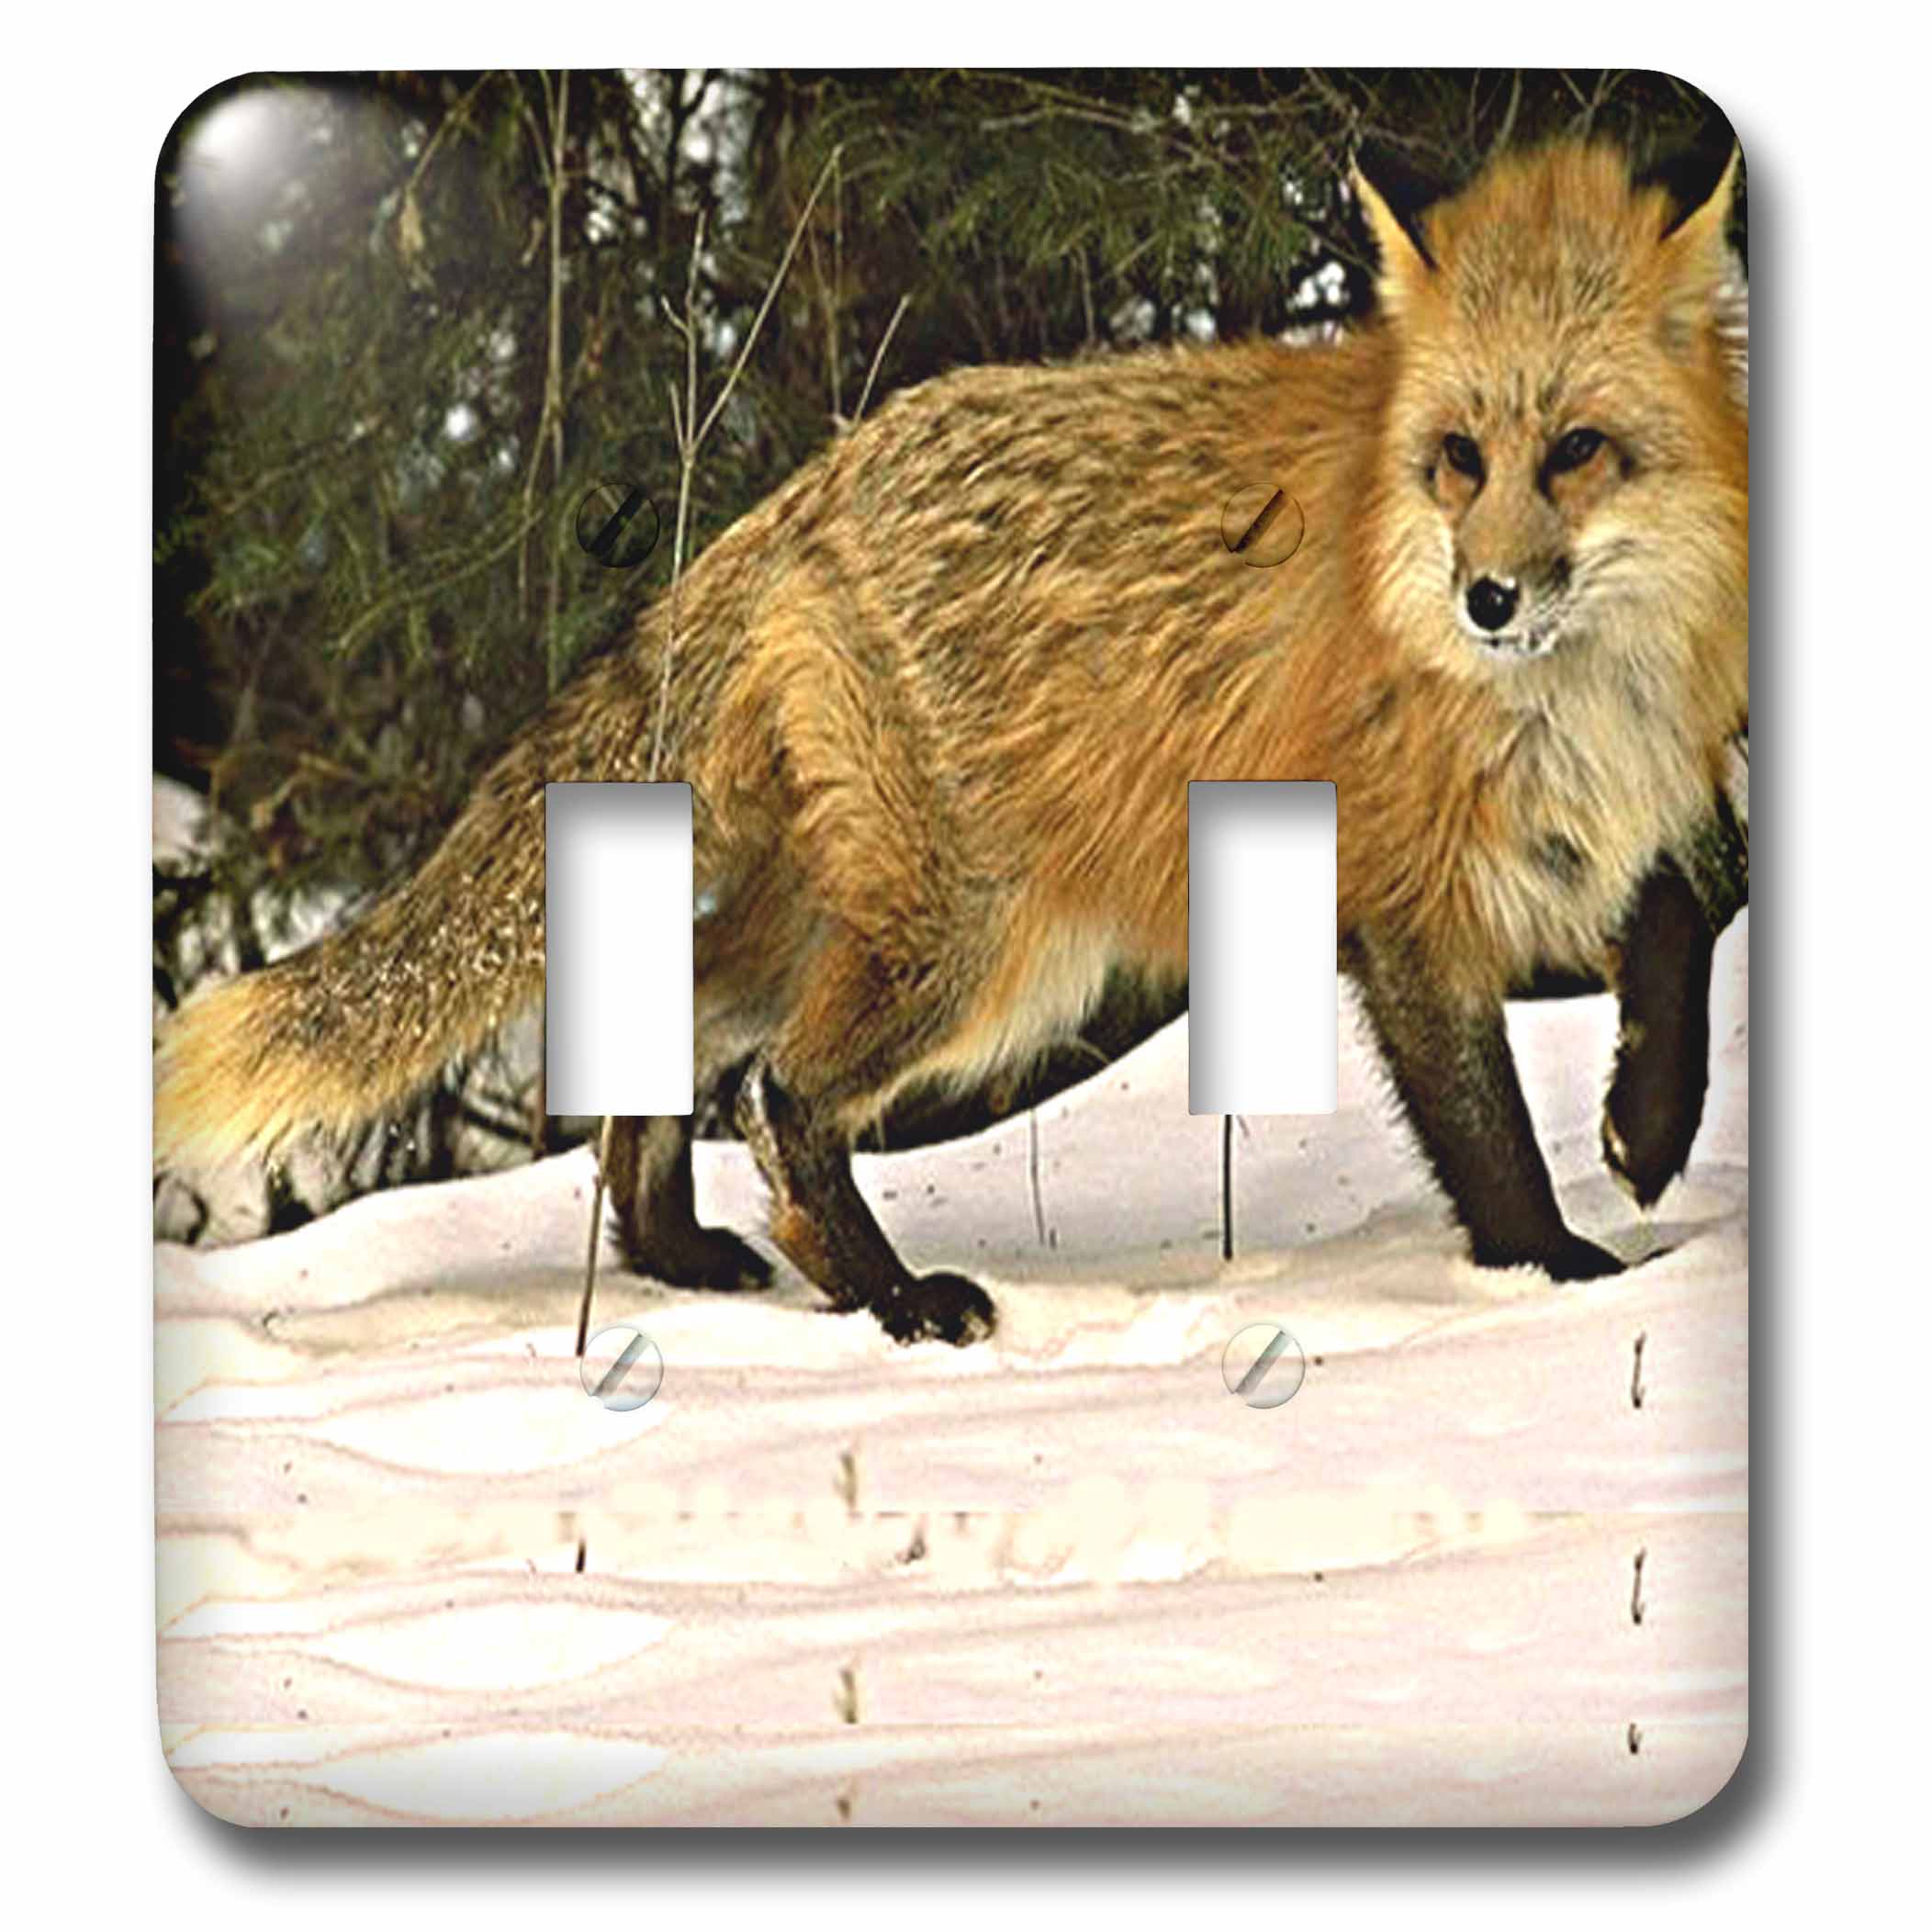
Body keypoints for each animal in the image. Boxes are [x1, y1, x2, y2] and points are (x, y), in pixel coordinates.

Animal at [155, 135, 1748, 1346]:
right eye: (1458, 460)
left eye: (1578, 451)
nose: (1488, 600)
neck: (1571, 697)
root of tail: (809, 484)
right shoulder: (1404, 902)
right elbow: (1489, 1136)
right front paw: (1561, 1280)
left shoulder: (1625, 811)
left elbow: (1688, 909)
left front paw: (1649, 1126)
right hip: (979, 953)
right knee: (778, 1094)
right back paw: (897, 1303)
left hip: (894, 929)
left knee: (681, 1032)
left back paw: (681, 1260)